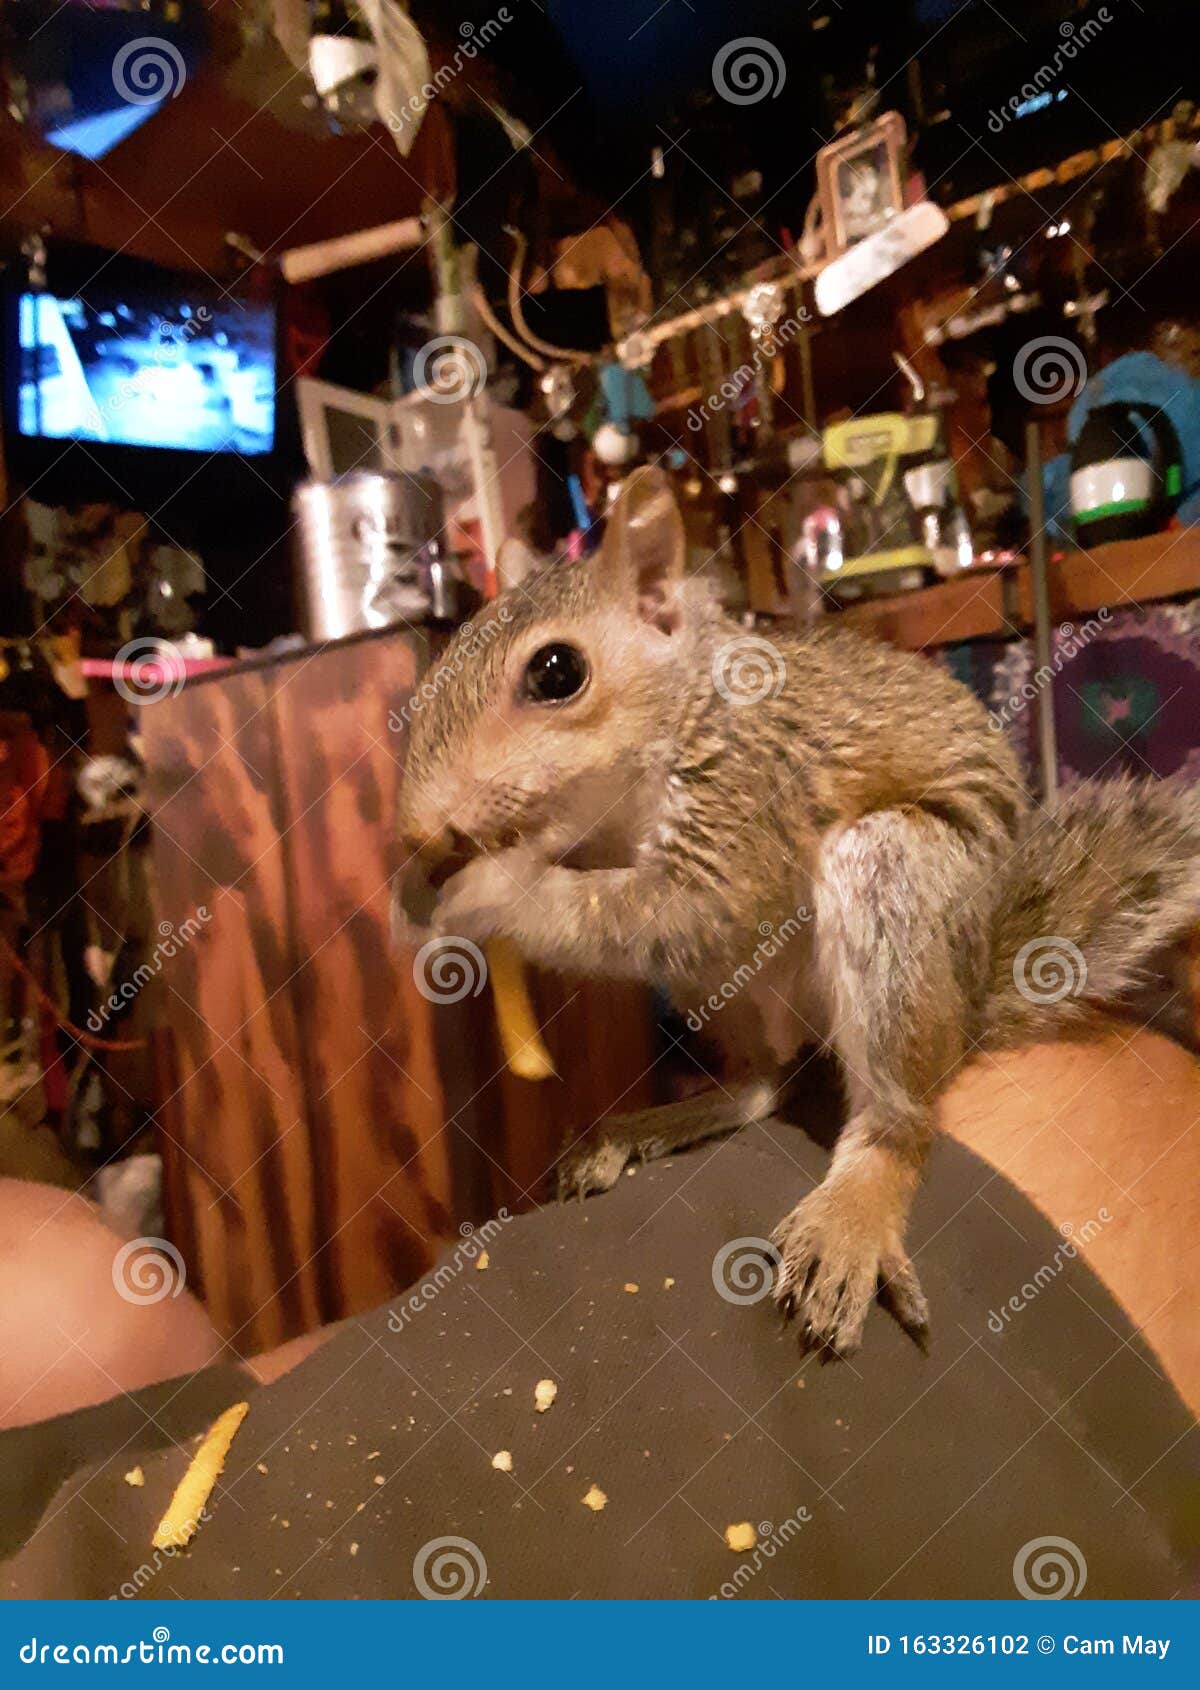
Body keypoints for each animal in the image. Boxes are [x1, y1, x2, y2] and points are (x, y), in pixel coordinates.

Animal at [394, 466, 1200, 1360]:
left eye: (556, 671)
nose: (422, 827)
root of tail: (970, 998)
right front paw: (423, 884)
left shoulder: (749, 796)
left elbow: (690, 906)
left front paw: (489, 892)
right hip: (732, 998)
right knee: (763, 1082)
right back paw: (656, 1123)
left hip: (892, 878)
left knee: (897, 1122)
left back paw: (852, 1215)